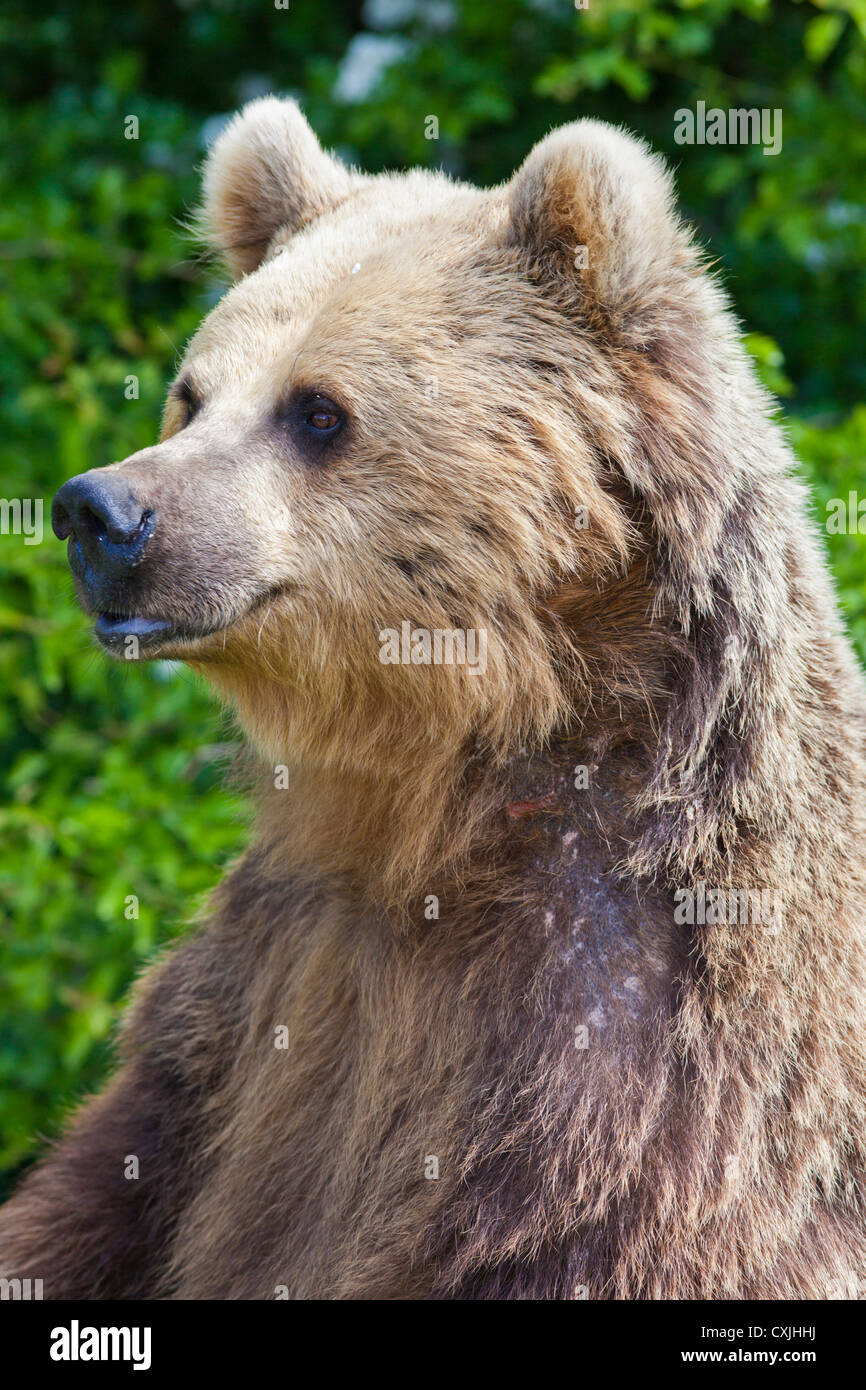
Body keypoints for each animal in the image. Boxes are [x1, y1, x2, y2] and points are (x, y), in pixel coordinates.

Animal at [1, 96, 865, 1300]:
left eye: (318, 411)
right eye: (193, 393)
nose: (103, 513)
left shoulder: (638, 1064)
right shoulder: (239, 1016)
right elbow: (107, 1184)